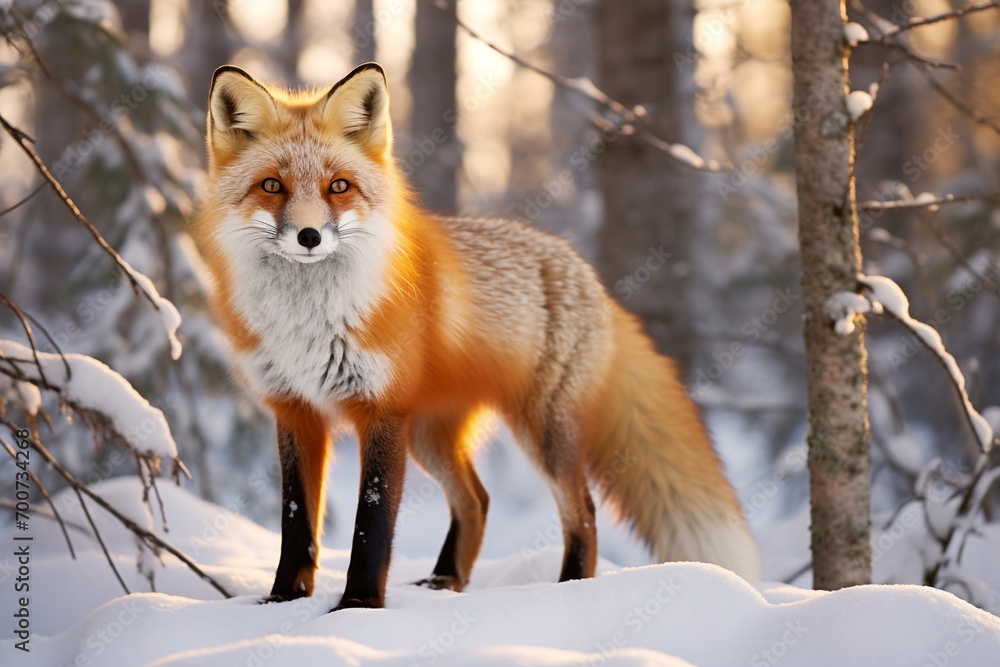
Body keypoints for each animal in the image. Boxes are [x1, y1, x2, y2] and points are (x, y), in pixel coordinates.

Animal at [192, 62, 760, 610]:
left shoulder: (382, 410)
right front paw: (282, 601)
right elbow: (295, 522)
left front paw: (358, 606)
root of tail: (588, 275)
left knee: (583, 511)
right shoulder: (295, 410)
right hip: (432, 438)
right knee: (477, 501)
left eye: (339, 186)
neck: (307, 323)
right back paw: (445, 582)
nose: (309, 236)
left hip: (542, 432)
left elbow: (371, 524)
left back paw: (569, 590)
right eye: (272, 186)